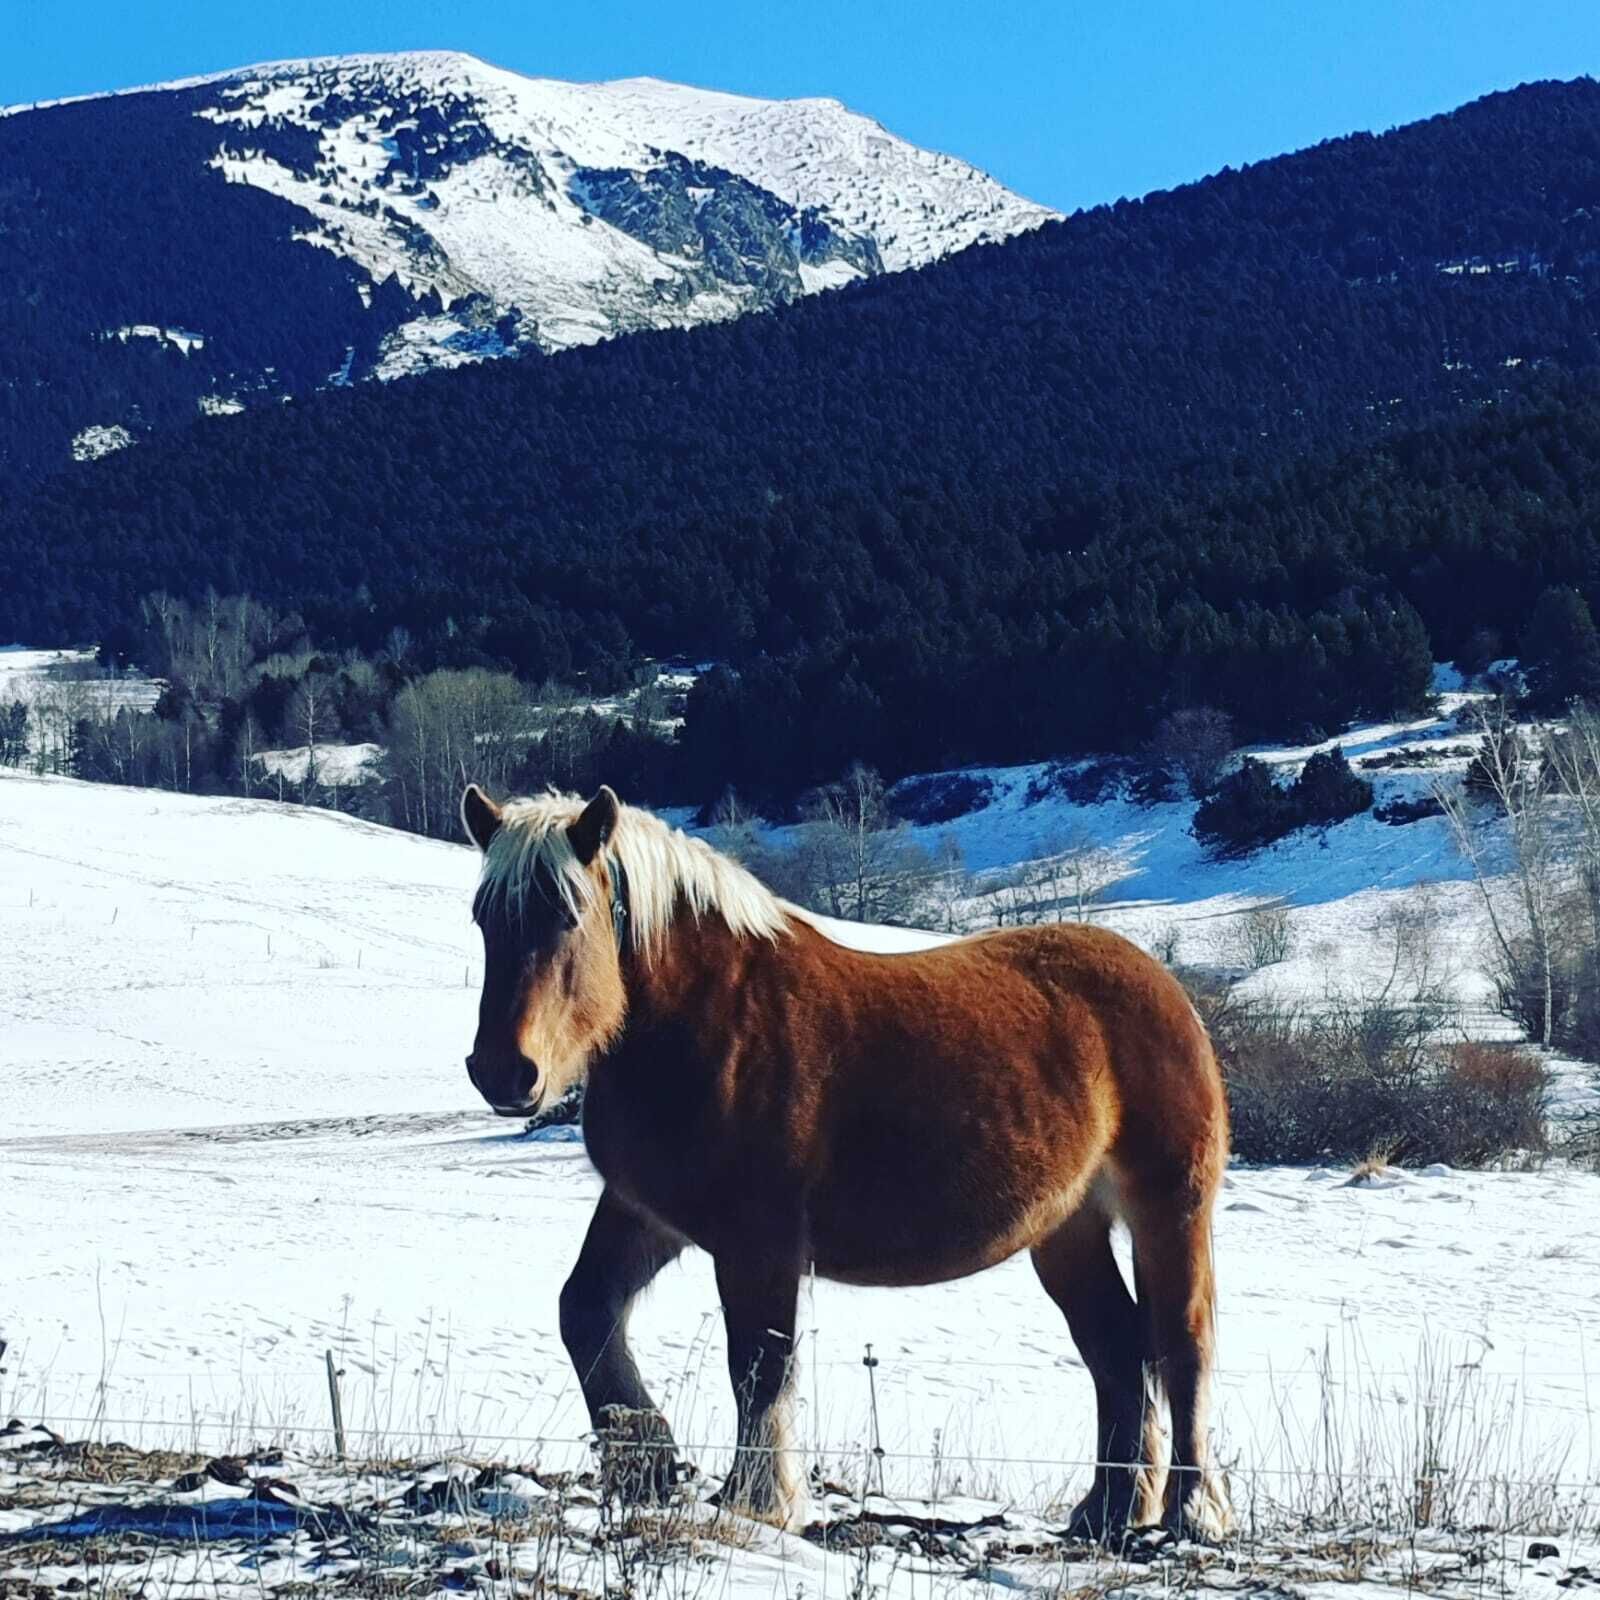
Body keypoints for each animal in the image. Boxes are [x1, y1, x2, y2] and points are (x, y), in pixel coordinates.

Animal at [459, 782, 1233, 1542]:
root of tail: (1165, 988)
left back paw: (1192, 1511)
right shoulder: (644, 1213)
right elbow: (585, 1312)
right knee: (1118, 1351)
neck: (703, 1021)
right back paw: (1108, 1510)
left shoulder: (760, 1241)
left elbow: (760, 1365)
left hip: (1168, 1209)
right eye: (485, 919)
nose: (503, 1071)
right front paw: (647, 1463)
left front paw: (758, 1501)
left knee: (1183, 1343)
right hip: (1068, 1230)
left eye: (568, 915)